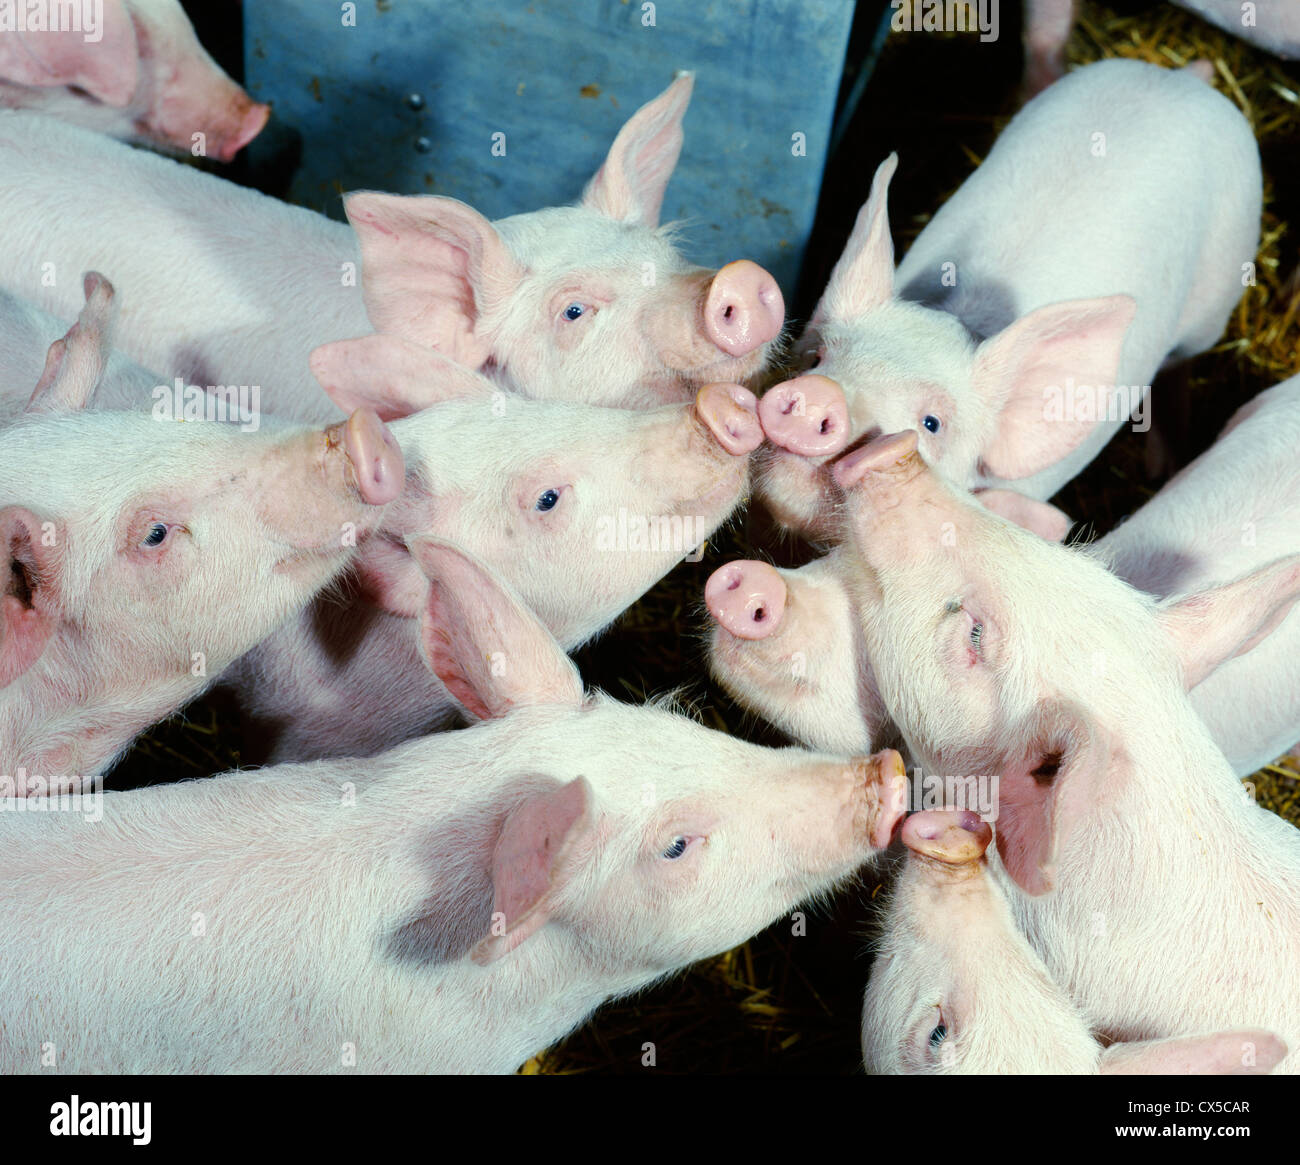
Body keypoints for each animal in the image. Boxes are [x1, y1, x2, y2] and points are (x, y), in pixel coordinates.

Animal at [758, 58, 1259, 540]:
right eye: (815, 359)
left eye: (932, 423)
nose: (820, 393)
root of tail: (1179, 77)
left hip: (1219, 285)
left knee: (1180, 363)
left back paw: (1163, 465)